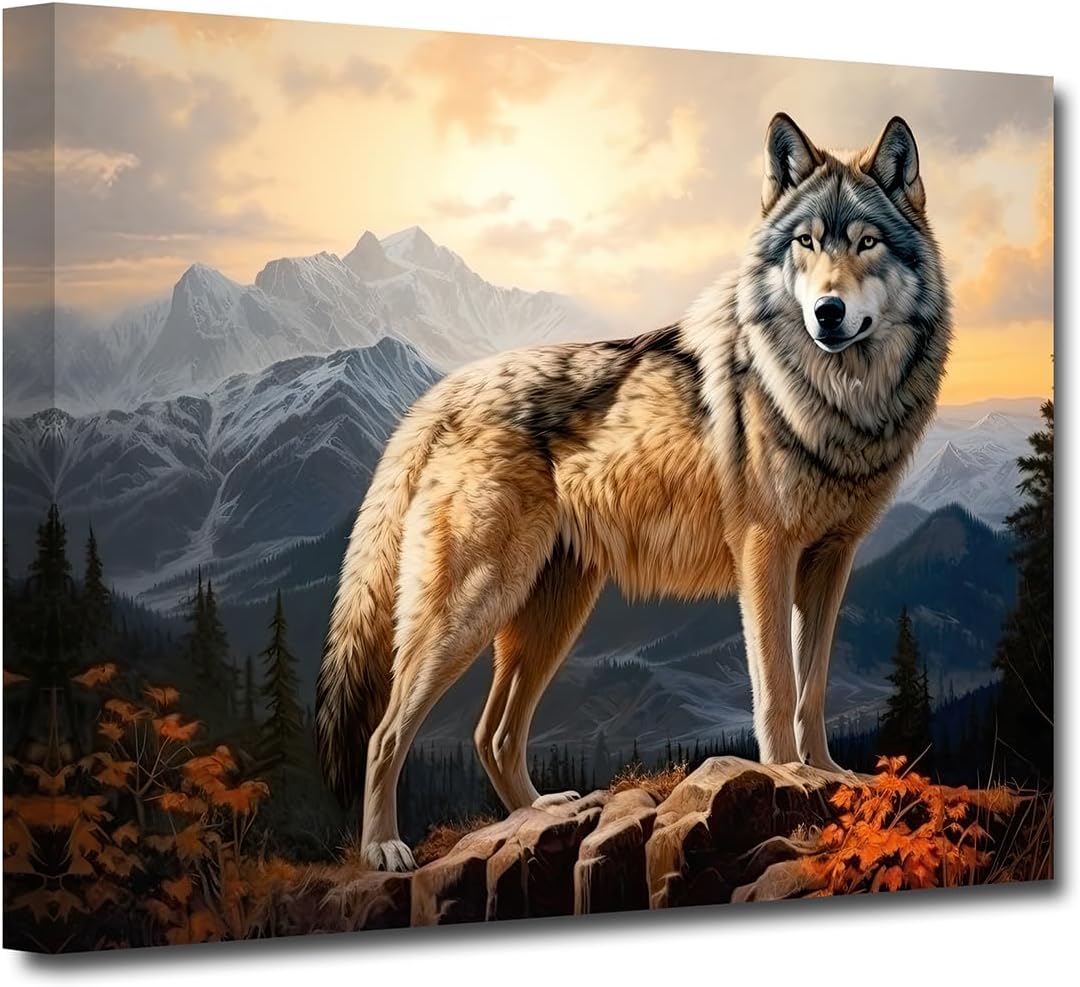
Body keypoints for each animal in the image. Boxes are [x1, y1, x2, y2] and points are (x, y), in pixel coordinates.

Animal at [316, 114, 952, 871]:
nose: (828, 312)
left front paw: (826, 773)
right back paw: (383, 847)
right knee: (387, 733)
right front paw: (786, 775)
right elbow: (776, 689)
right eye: (805, 243)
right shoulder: (765, 554)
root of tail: (438, 395)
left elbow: (814, 687)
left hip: (552, 612)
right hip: (473, 607)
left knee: (491, 733)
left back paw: (540, 814)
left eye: (865, 243)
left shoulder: (831, 560)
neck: (837, 399)